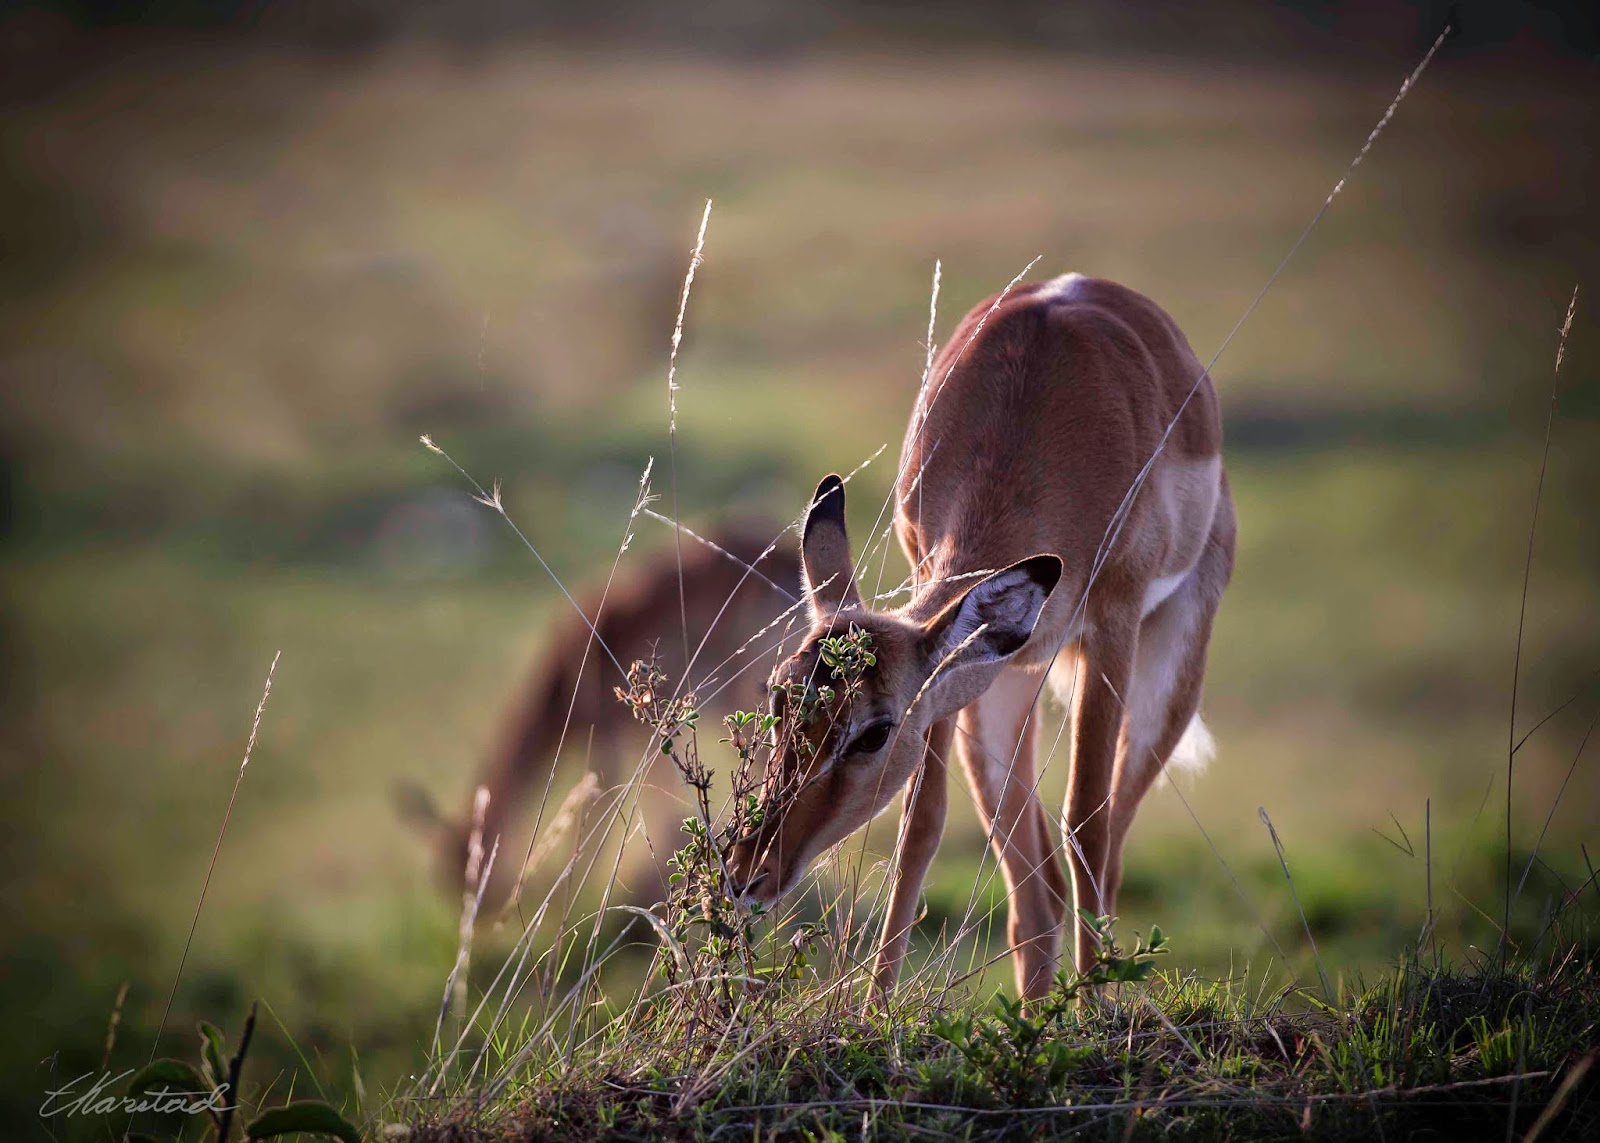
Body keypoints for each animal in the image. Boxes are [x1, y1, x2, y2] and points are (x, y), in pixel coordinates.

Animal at [726, 274, 1235, 999]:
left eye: (873, 732)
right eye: (778, 697)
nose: (748, 873)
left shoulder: (1114, 618)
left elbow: (1086, 818)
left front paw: (1097, 1013)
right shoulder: (942, 651)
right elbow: (921, 826)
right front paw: (872, 1011)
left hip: (1167, 664)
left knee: (1102, 848)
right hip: (1000, 687)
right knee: (1038, 897)